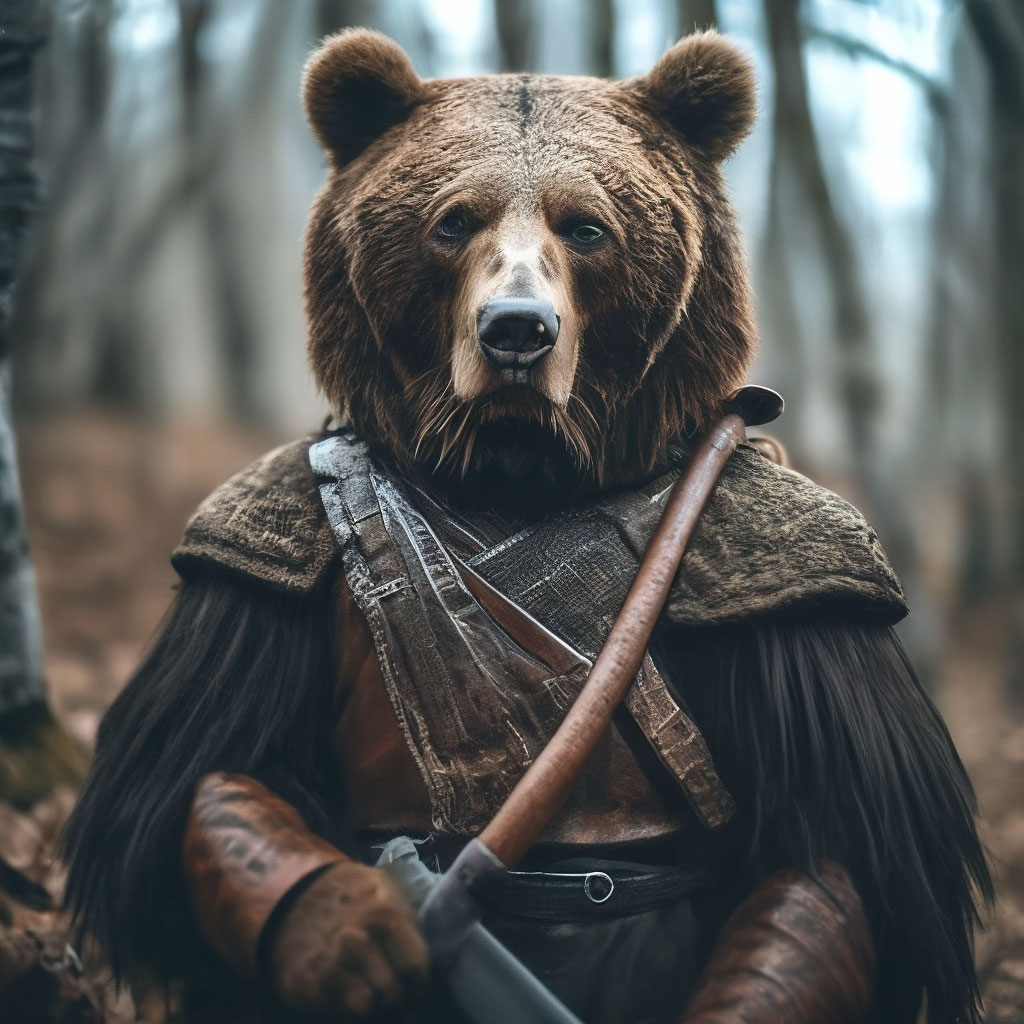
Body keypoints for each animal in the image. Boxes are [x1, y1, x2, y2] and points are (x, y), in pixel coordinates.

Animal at [60, 27, 989, 1024]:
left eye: (587, 226)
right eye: (451, 221)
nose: (516, 330)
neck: (516, 472)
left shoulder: (800, 585)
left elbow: (843, 846)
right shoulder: (255, 563)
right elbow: (185, 779)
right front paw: (347, 931)